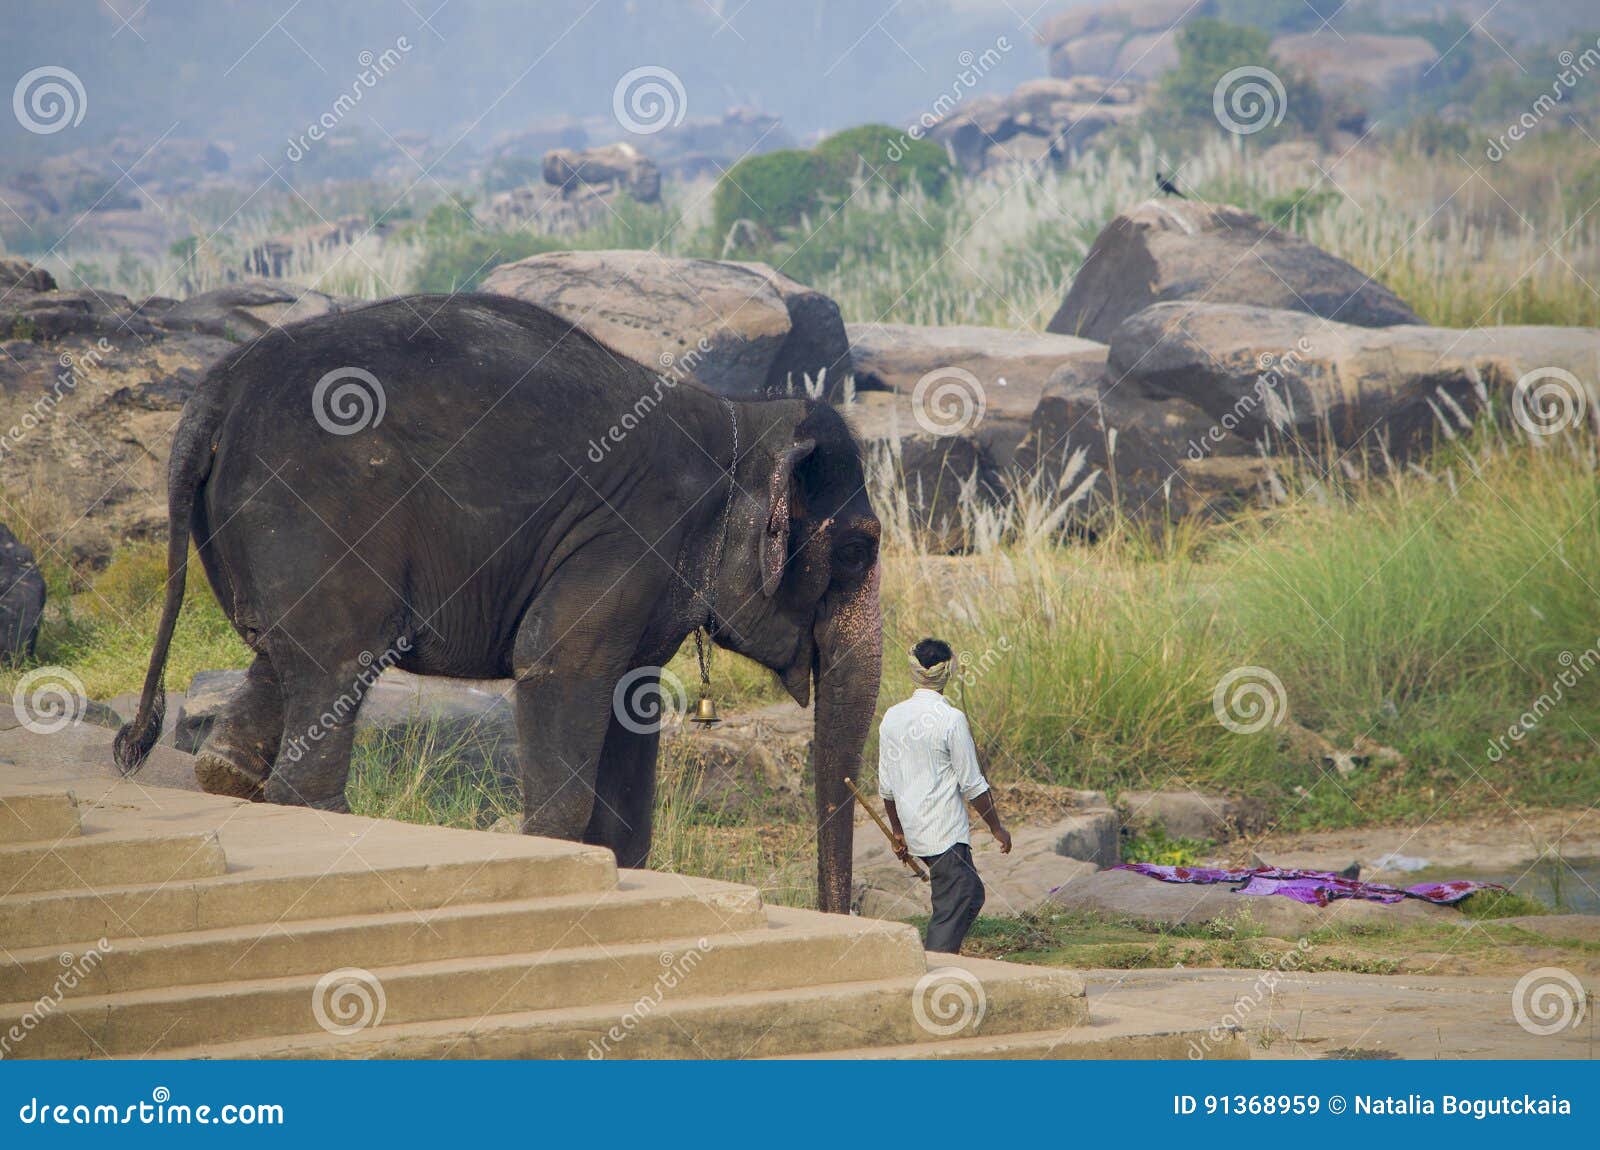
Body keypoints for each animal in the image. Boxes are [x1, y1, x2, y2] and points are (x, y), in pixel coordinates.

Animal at [115, 293, 882, 912]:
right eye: (856, 552)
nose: (832, 909)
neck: (743, 417)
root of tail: (215, 392)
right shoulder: (630, 535)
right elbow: (558, 662)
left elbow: (630, 697)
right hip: (320, 515)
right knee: (339, 663)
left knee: (284, 663)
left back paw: (231, 770)